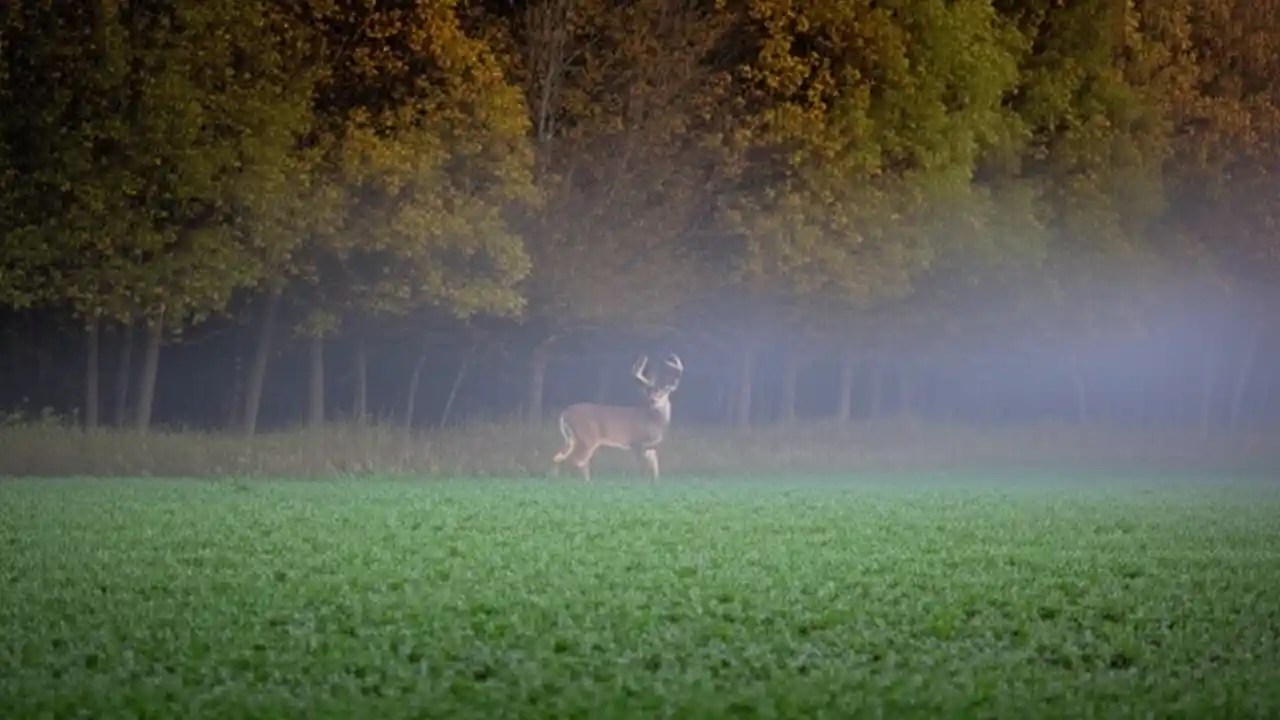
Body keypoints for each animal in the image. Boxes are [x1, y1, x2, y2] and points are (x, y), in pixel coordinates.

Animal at [551, 354, 684, 482]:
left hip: (571, 438)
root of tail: (565, 413)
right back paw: (586, 482)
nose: (653, 400)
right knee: (579, 459)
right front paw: (643, 482)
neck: (653, 420)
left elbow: (655, 464)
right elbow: (642, 467)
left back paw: (555, 478)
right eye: (648, 392)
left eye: (663, 392)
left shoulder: (650, 447)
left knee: (558, 456)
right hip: (588, 437)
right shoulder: (637, 442)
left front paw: (656, 482)